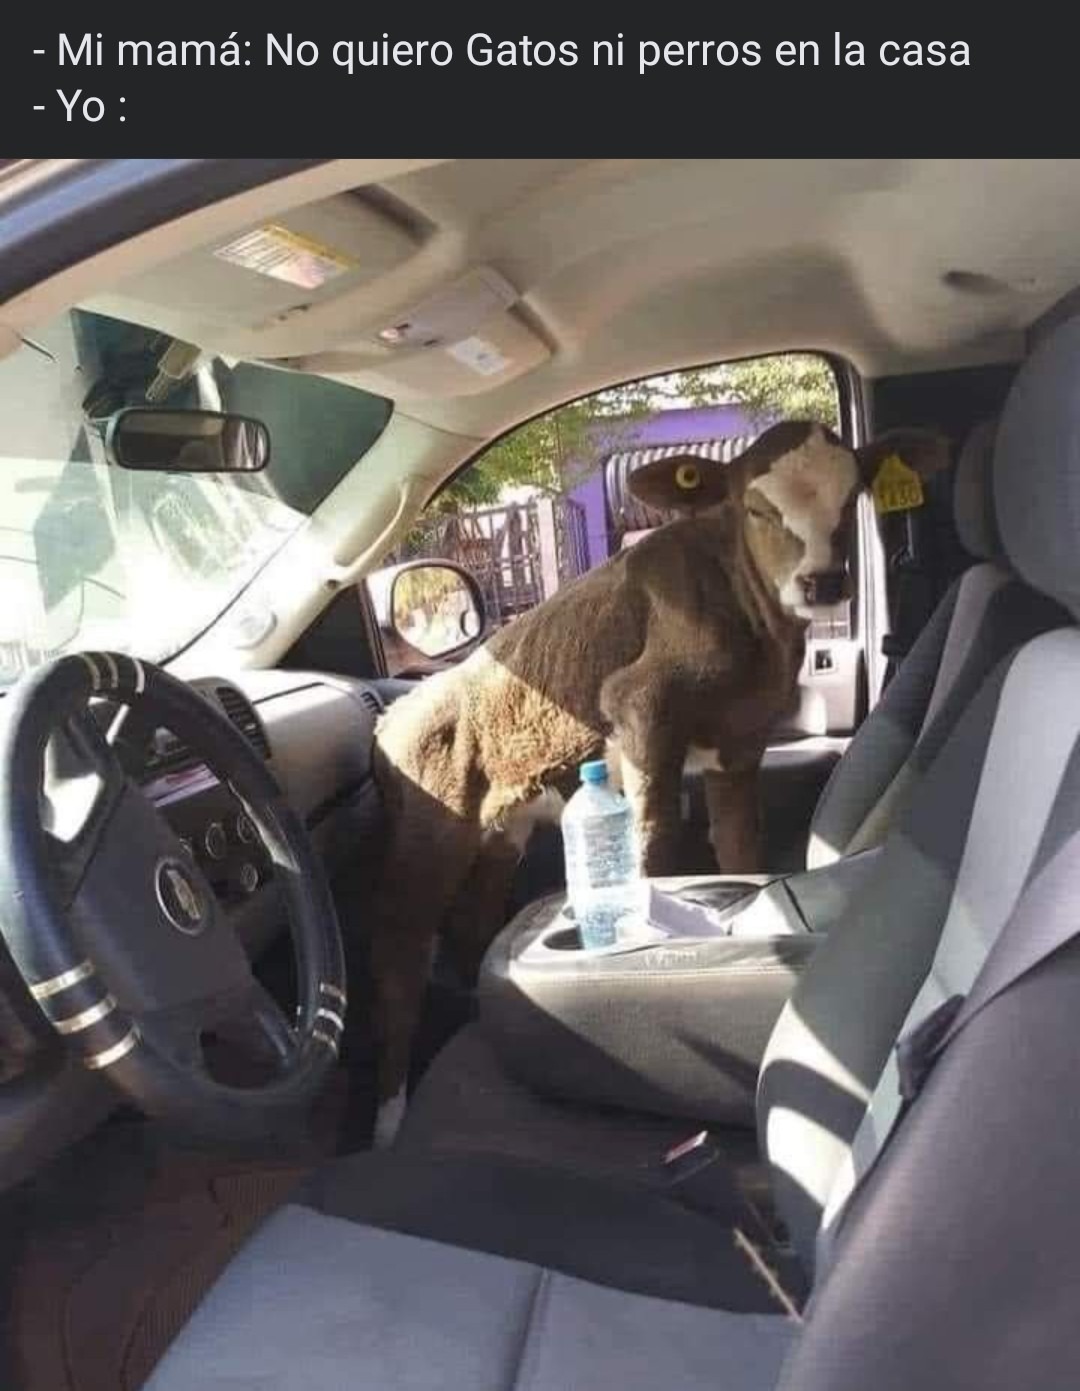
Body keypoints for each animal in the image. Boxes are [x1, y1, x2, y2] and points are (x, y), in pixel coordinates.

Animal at [367, 420, 949, 1143]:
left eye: (851, 501)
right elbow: (652, 841)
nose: (822, 582)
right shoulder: (640, 707)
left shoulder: (741, 742)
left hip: (502, 825)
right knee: (398, 953)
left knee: (470, 920)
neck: (752, 630)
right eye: (755, 509)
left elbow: (739, 844)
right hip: (430, 833)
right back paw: (387, 1116)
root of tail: (394, 713)